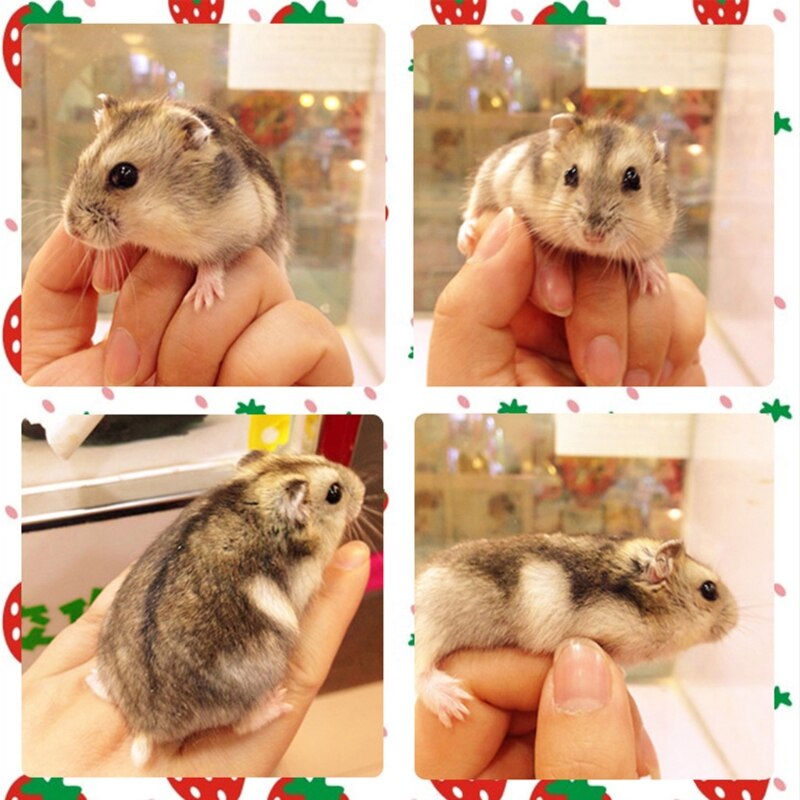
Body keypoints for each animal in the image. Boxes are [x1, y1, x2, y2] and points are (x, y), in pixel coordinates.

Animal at [62, 95, 290, 310]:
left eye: (125, 174)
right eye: (80, 161)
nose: (73, 231)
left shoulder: (242, 226)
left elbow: (215, 260)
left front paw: (202, 301)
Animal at [86, 452, 364, 766]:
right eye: (334, 493)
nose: (364, 488)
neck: (255, 497)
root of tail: (146, 724)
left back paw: (92, 679)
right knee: (243, 725)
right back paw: (279, 702)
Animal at [458, 114, 677, 295]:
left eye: (634, 179)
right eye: (570, 174)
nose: (592, 236)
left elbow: (646, 258)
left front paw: (657, 286)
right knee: (472, 211)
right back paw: (467, 239)